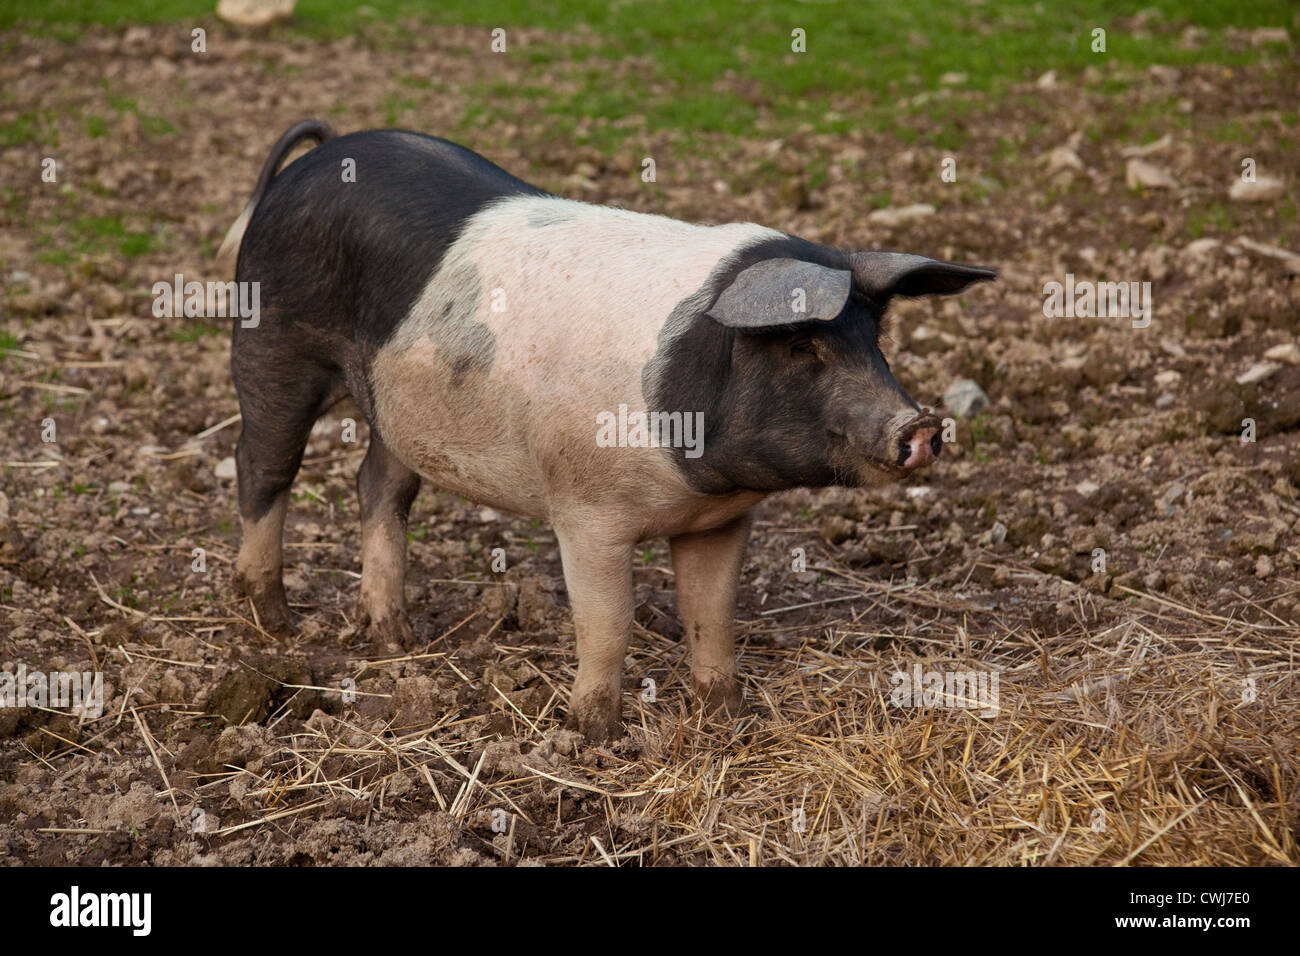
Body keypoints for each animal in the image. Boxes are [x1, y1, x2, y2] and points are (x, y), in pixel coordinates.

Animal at [219, 119, 995, 741]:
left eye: (875, 339)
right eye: (803, 345)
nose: (921, 426)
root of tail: (317, 159)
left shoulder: (719, 520)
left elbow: (711, 614)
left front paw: (727, 718)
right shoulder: (586, 511)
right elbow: (608, 623)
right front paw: (594, 736)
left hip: (397, 406)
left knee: (377, 485)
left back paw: (397, 638)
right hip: (271, 341)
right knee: (262, 467)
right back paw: (278, 623)